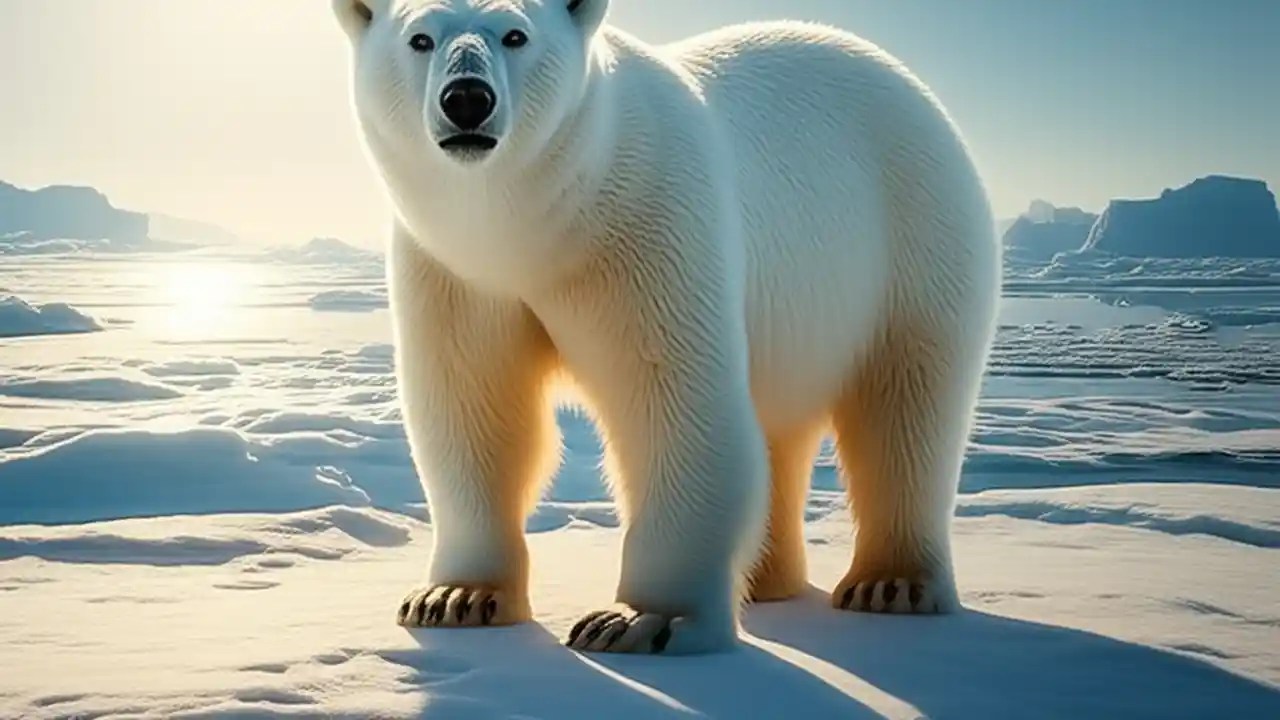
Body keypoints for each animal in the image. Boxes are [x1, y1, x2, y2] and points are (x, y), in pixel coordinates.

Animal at [333, 0, 1000, 655]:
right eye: (420, 38)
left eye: (514, 34)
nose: (467, 98)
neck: (542, 225)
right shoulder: (456, 272)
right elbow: (472, 406)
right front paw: (455, 598)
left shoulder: (648, 221)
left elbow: (670, 401)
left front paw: (639, 620)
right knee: (782, 424)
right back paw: (765, 580)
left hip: (912, 240)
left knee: (905, 407)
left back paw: (891, 584)